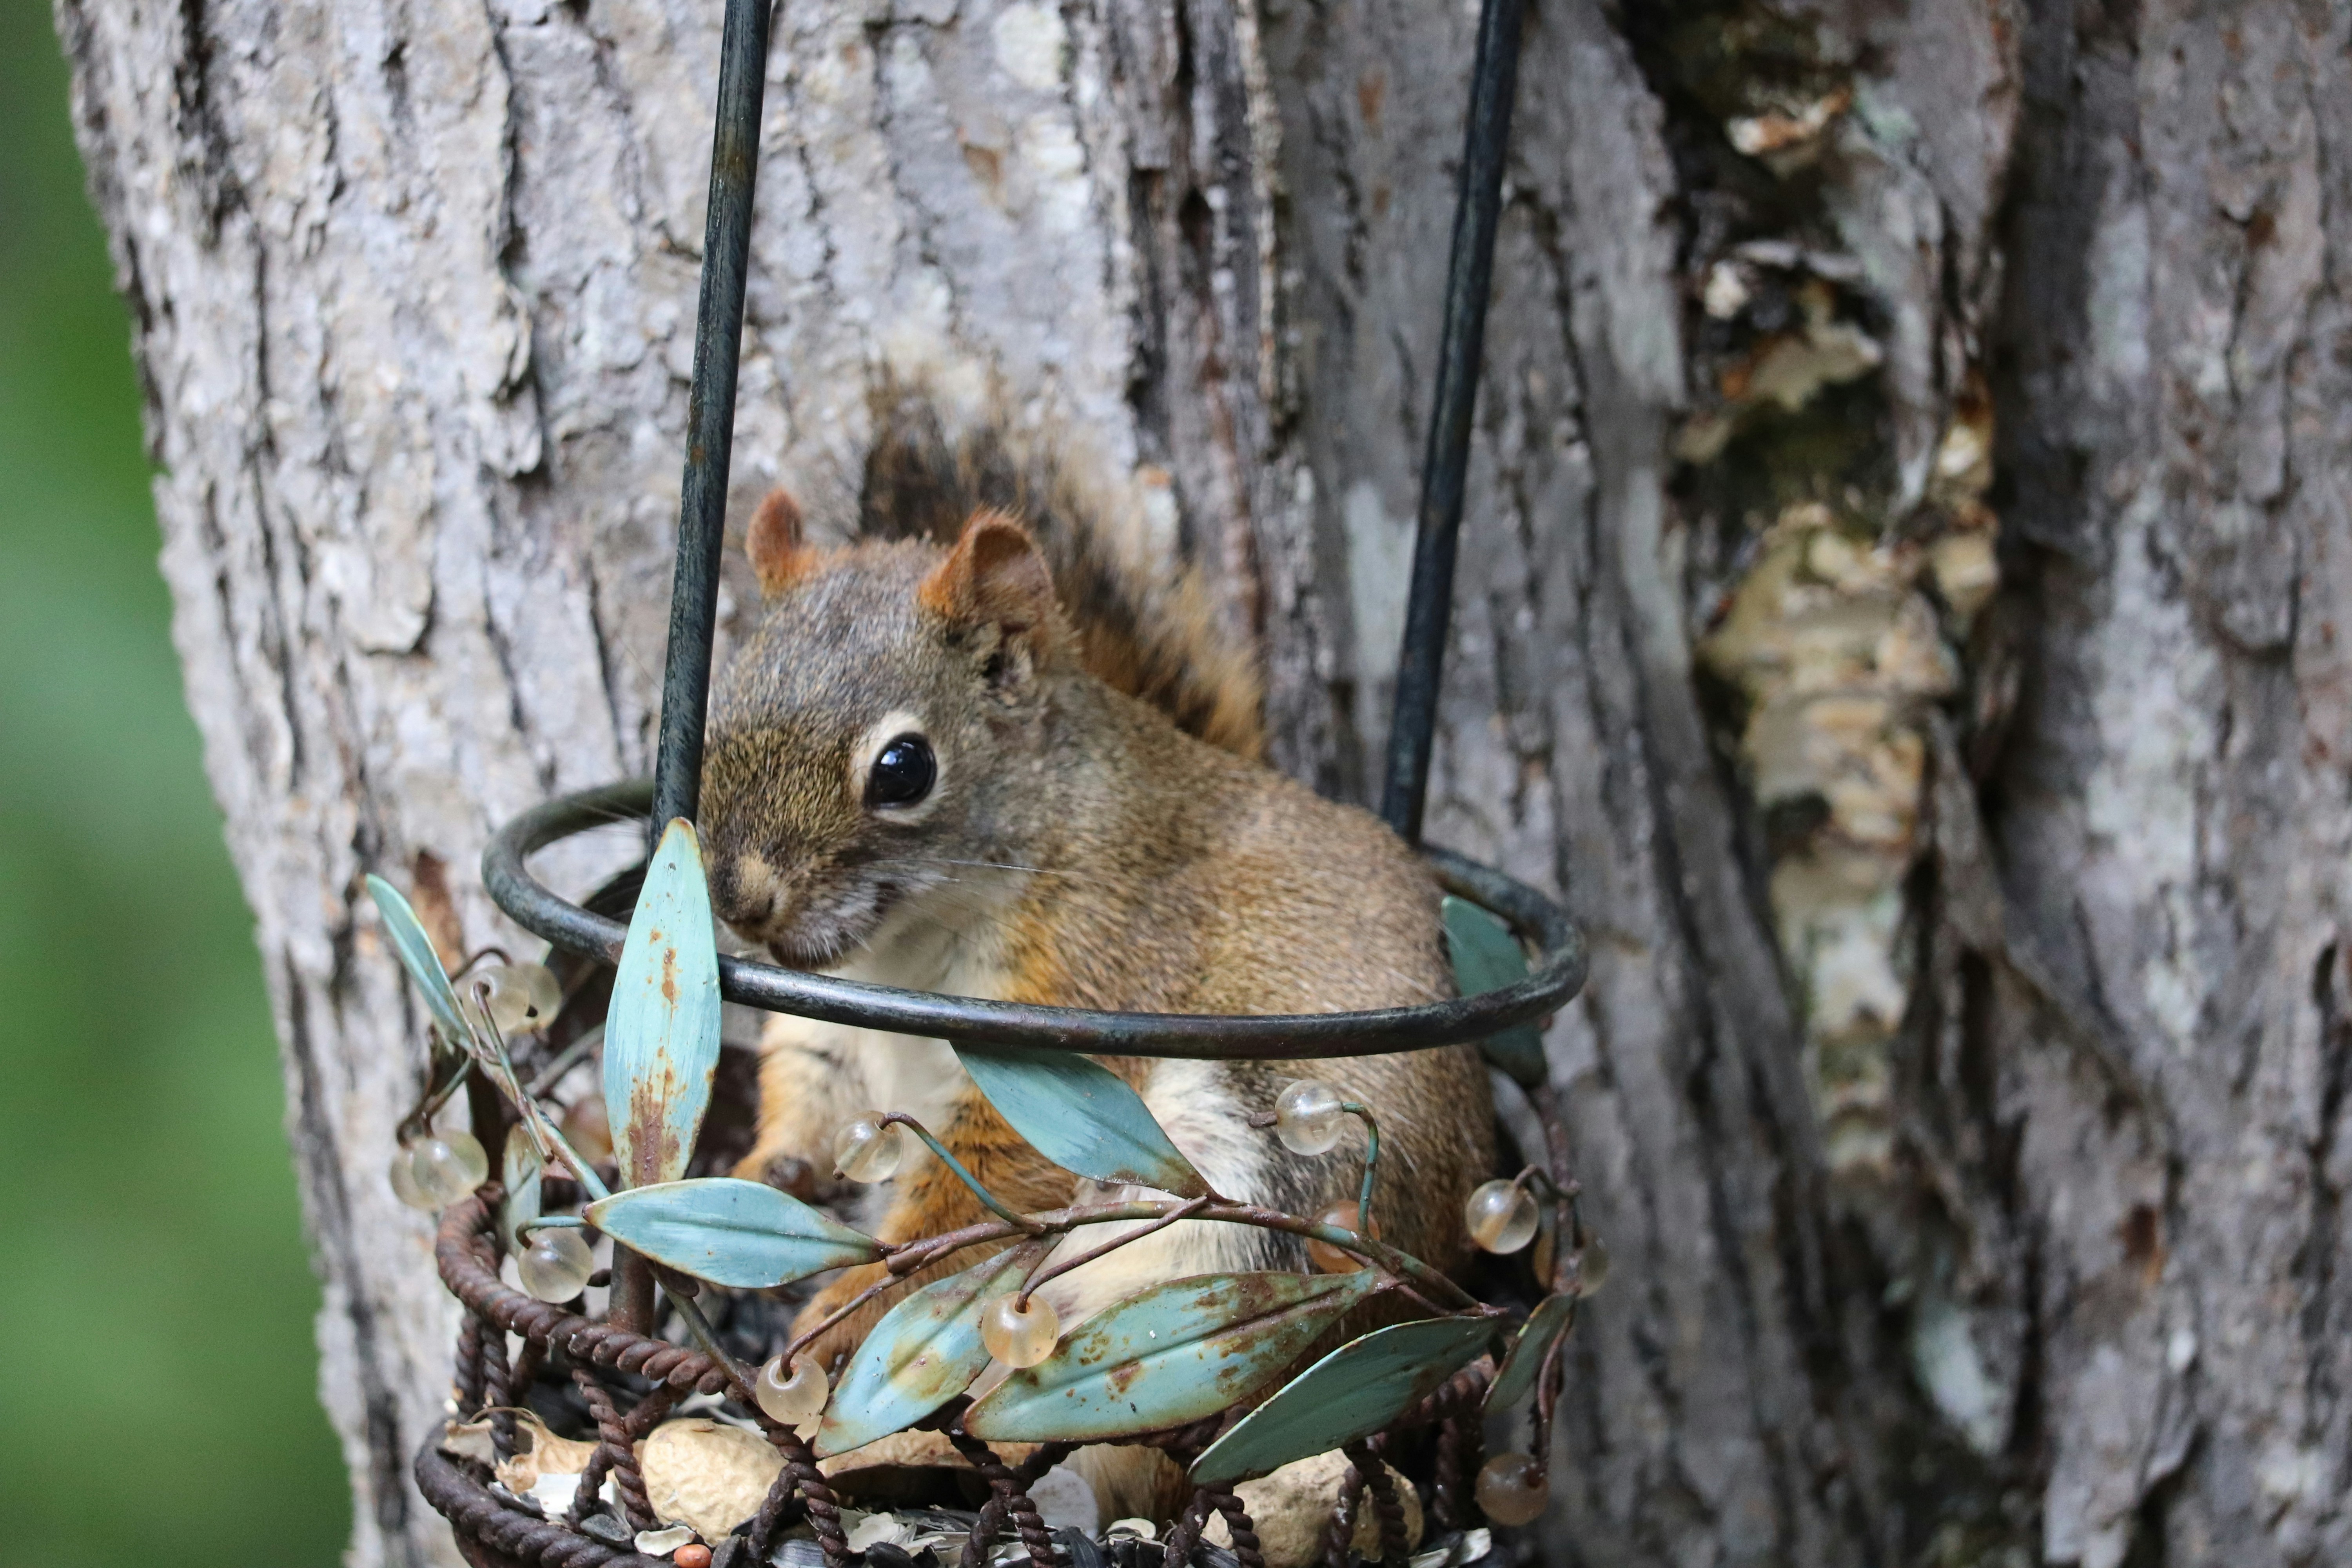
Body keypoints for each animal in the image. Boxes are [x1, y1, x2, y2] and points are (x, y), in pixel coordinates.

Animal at [697, 383, 1494, 1514]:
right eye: (718, 710)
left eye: (904, 768)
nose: (742, 899)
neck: (905, 946)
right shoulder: (839, 1032)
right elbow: (809, 1089)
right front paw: (766, 1177)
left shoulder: (1083, 981)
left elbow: (981, 1186)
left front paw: (845, 1305)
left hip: (1259, 1210)